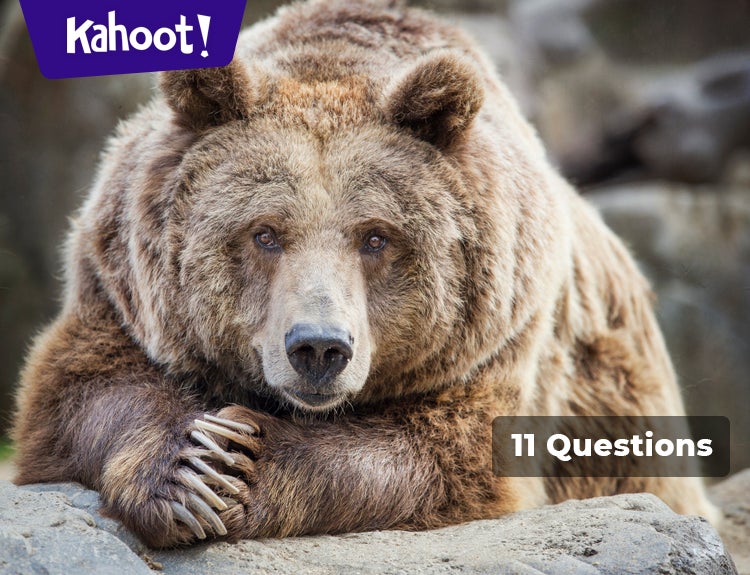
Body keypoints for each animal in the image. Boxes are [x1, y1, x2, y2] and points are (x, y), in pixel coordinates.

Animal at [13, 0, 717, 548]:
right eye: (265, 233)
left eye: (376, 237)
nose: (319, 348)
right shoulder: (118, 286)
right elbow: (82, 390)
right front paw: (193, 474)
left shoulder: (497, 336)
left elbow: (436, 455)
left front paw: (246, 464)